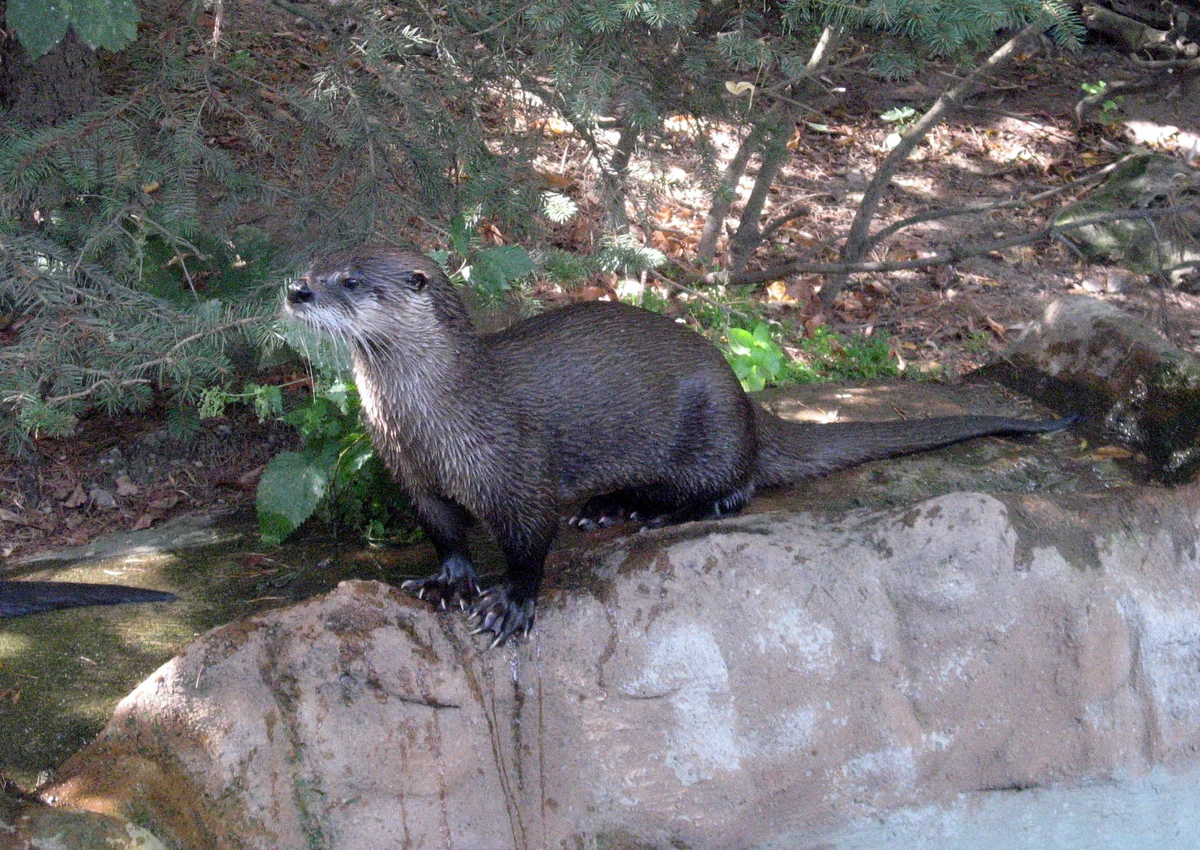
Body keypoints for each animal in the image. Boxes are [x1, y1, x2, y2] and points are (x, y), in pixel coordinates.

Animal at [285, 246, 1073, 646]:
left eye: (349, 281)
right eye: (316, 262)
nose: (296, 289)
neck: (435, 415)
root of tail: (748, 399)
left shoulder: (516, 468)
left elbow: (530, 541)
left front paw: (510, 605)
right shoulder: (414, 478)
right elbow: (445, 531)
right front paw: (448, 581)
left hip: (713, 429)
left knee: (738, 485)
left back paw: (666, 513)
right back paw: (611, 509)